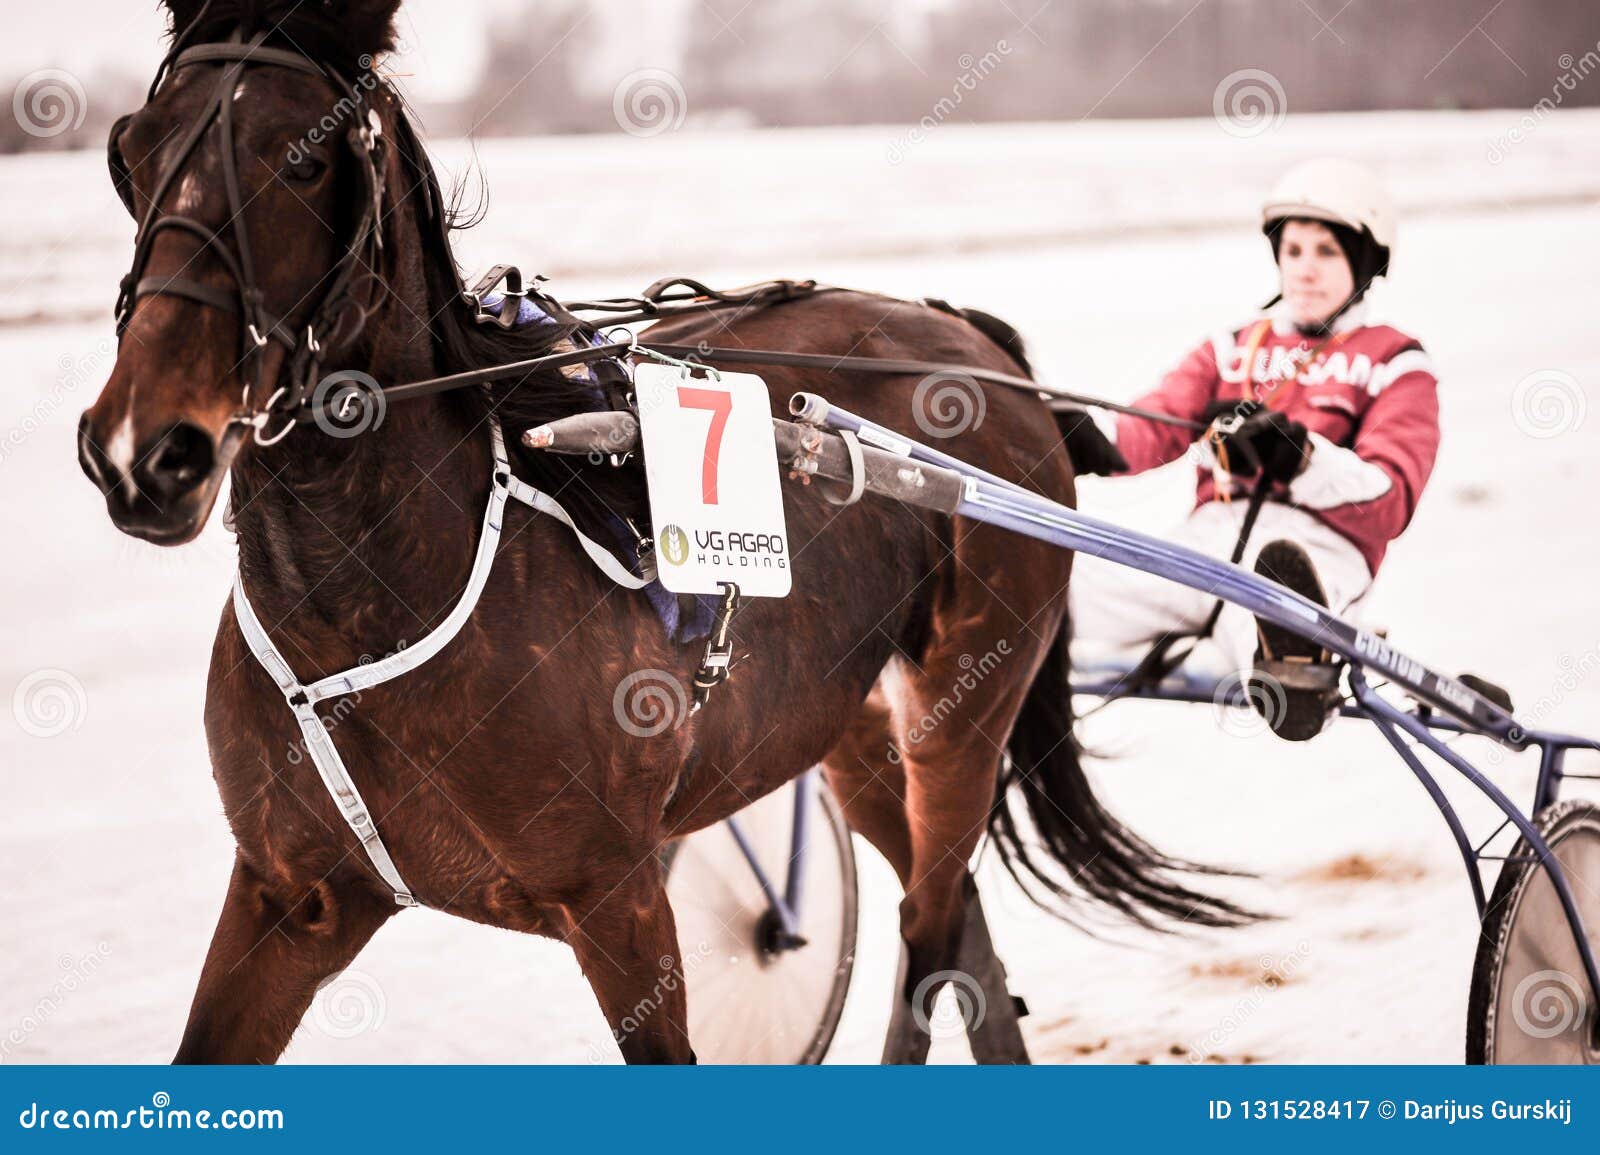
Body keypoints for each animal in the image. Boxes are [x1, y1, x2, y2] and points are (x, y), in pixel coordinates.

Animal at [77, 0, 1246, 1064]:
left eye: (302, 158)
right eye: (129, 152)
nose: (145, 448)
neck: (370, 605)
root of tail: (972, 340)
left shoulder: (620, 902)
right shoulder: (289, 896)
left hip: (962, 706)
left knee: (930, 926)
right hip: (847, 729)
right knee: (958, 932)